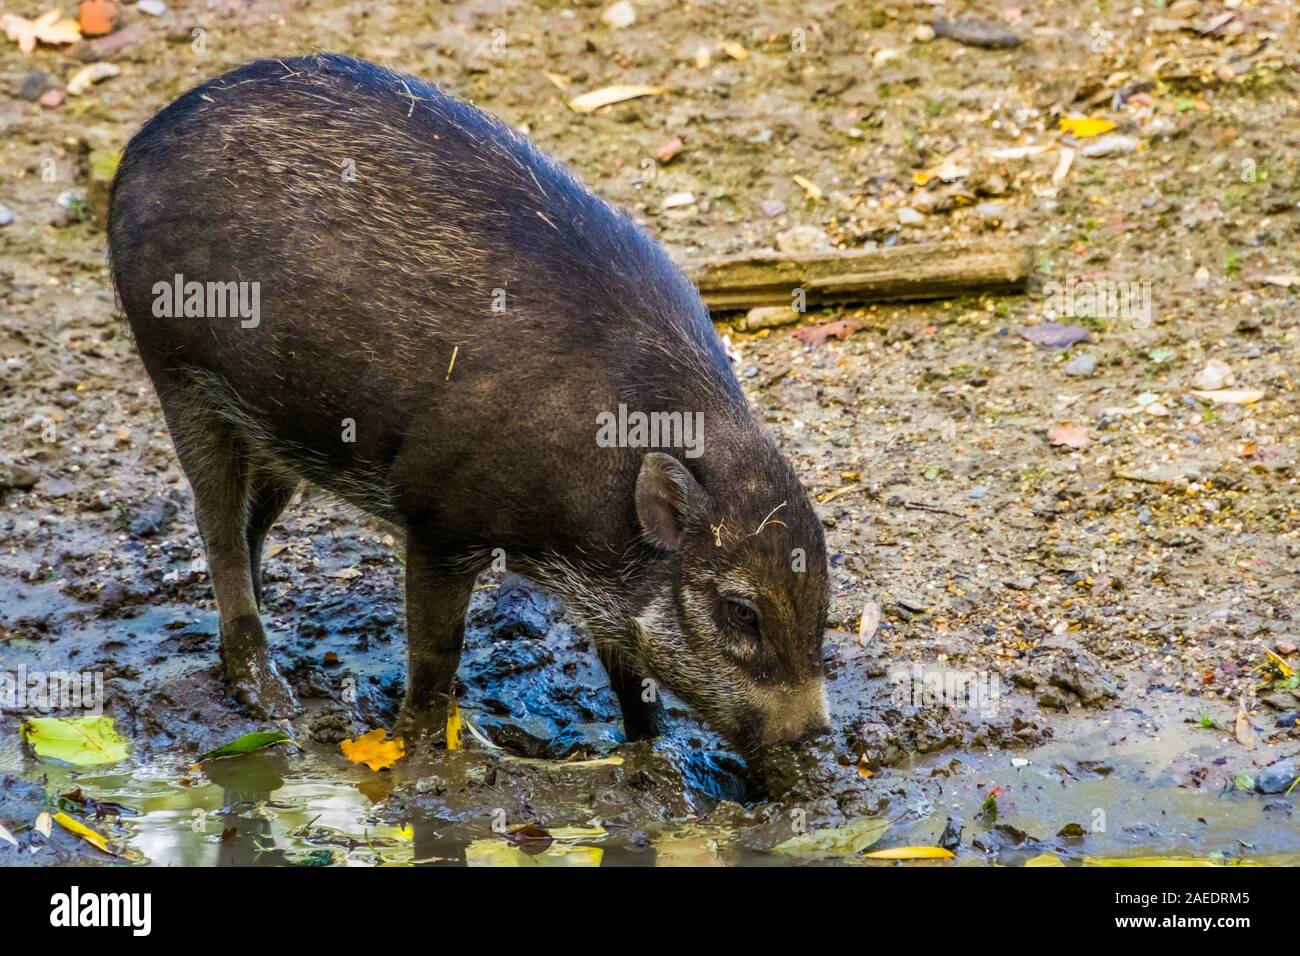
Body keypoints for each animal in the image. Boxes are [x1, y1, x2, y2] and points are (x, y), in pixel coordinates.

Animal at [108, 54, 830, 759]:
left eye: (824, 601)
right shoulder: (436, 516)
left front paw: (656, 753)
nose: (814, 735)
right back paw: (269, 699)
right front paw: (439, 745)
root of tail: (142, 142)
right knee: (219, 528)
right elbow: (436, 652)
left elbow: (630, 674)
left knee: (255, 522)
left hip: (273, 426)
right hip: (177, 374)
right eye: (743, 613)